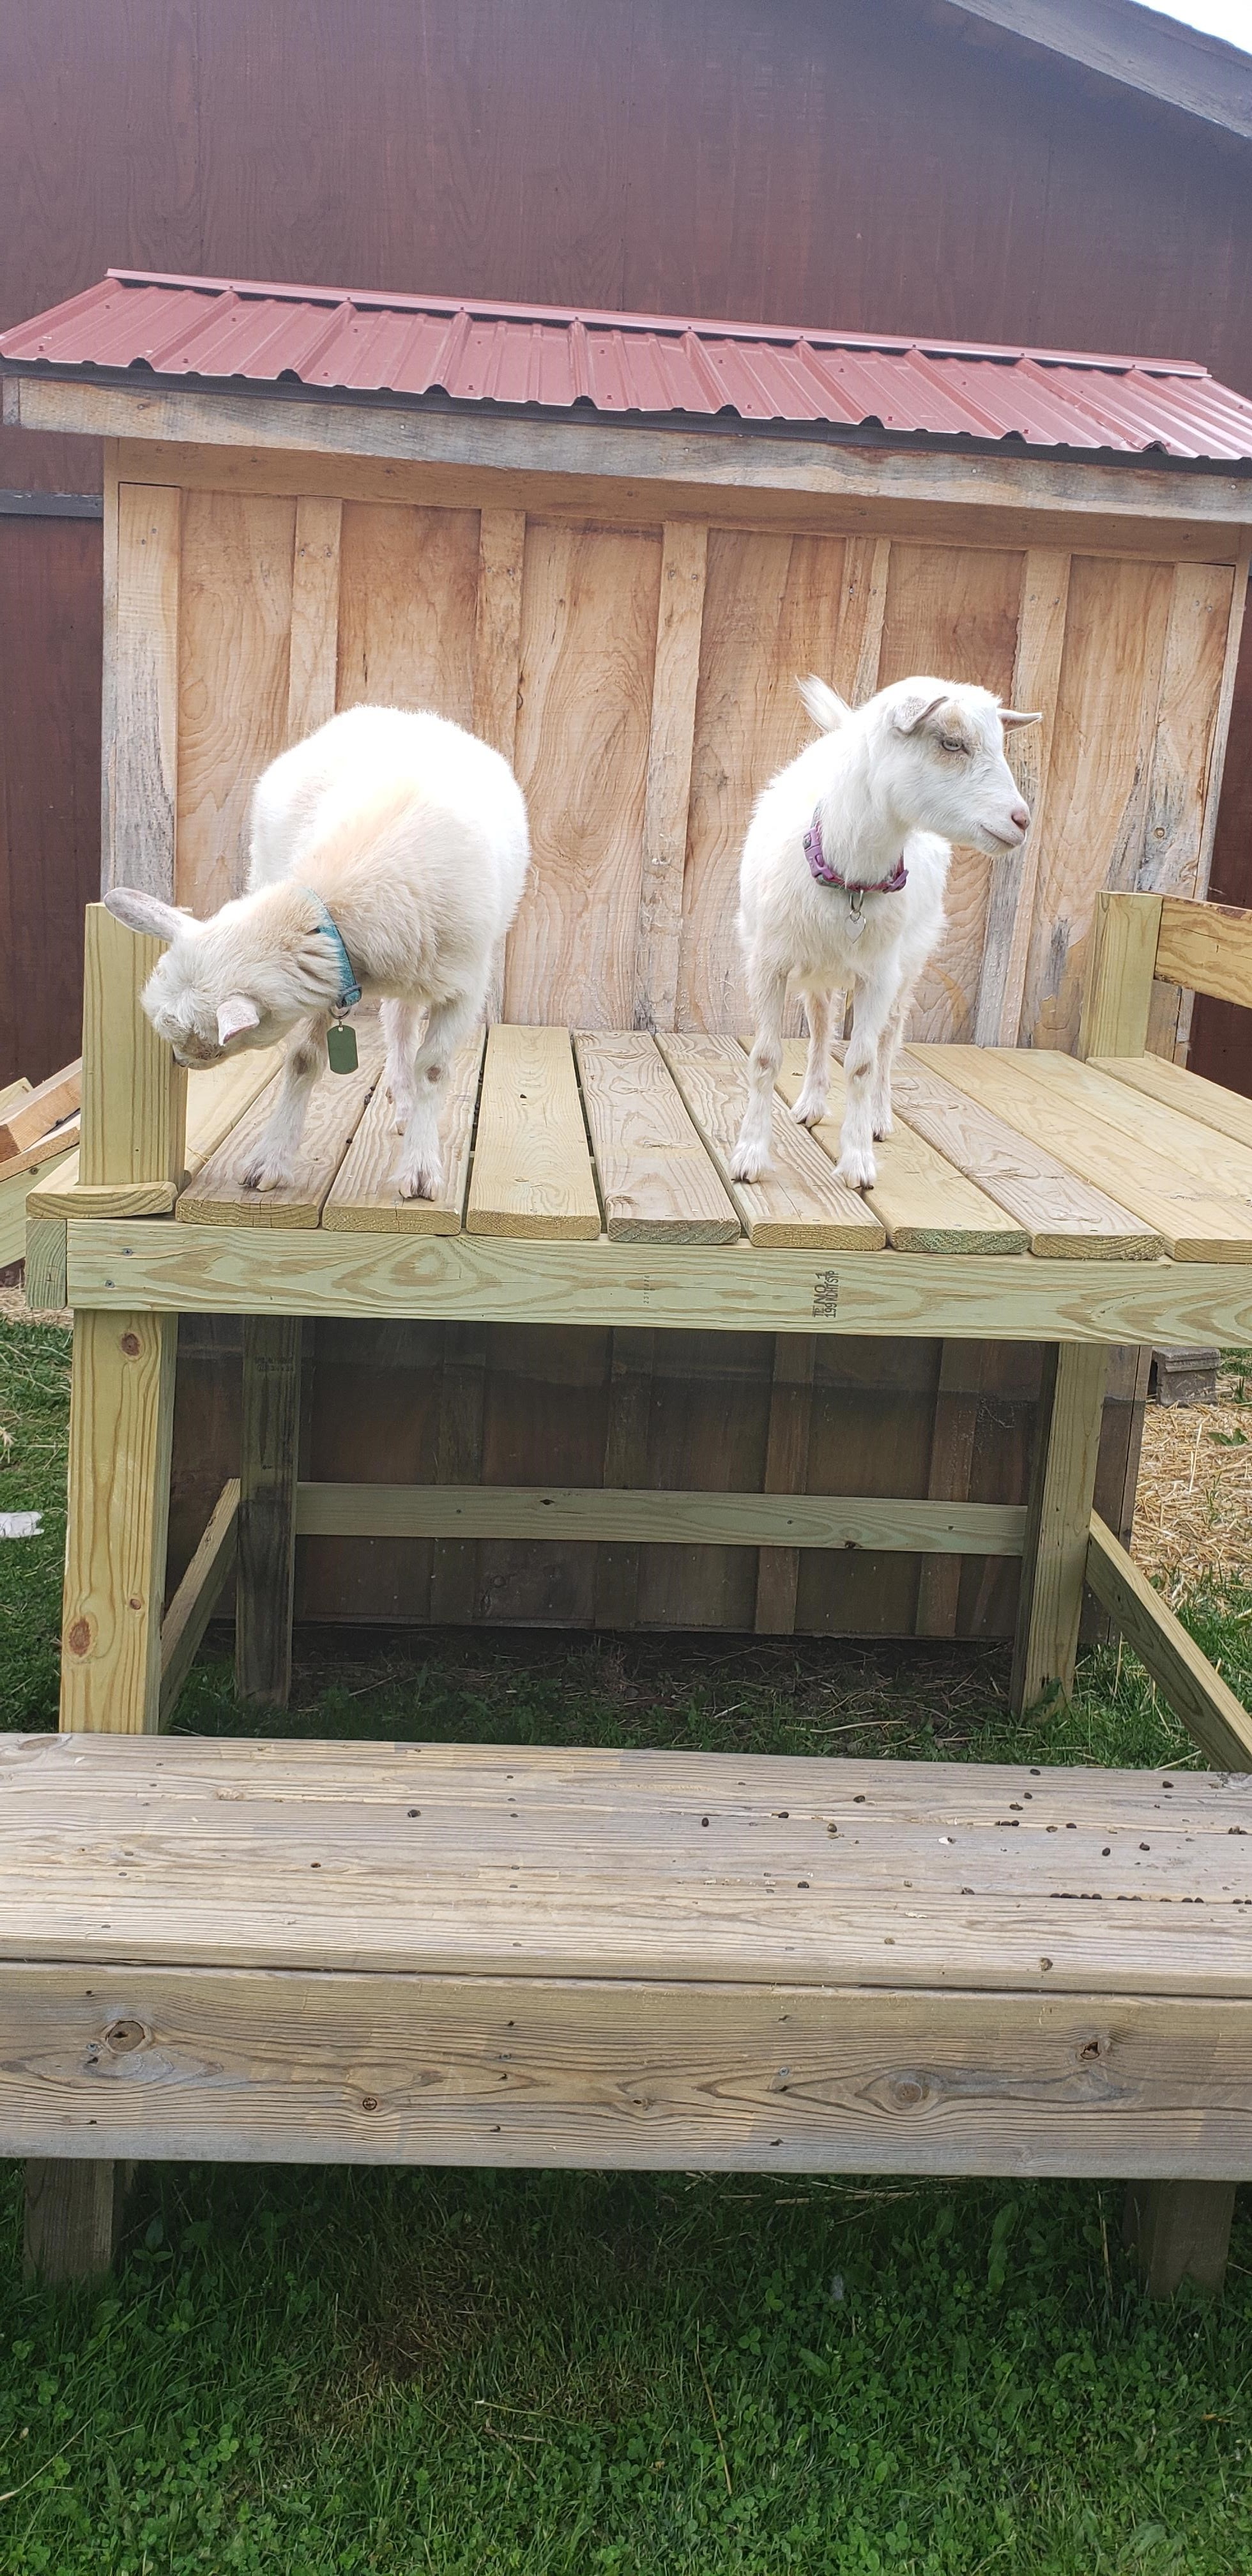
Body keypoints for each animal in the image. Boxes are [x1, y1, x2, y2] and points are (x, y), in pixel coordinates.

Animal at [104, 704, 530, 1201]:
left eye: (206, 1043)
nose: (180, 1062)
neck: (331, 907)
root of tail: (396, 711)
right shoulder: (329, 983)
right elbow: (304, 1060)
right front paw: (268, 1162)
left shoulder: (465, 986)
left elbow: (435, 1070)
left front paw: (421, 1171)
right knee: (399, 1022)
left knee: (402, 1022)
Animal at [730, 675, 1039, 1191]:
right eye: (951, 743)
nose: (1021, 821)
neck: (848, 877)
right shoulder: (767, 963)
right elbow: (765, 1058)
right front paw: (749, 1156)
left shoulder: (879, 974)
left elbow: (862, 1062)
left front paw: (857, 1162)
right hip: (817, 969)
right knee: (820, 1027)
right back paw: (811, 1104)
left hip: (907, 965)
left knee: (889, 1040)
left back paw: (877, 1118)